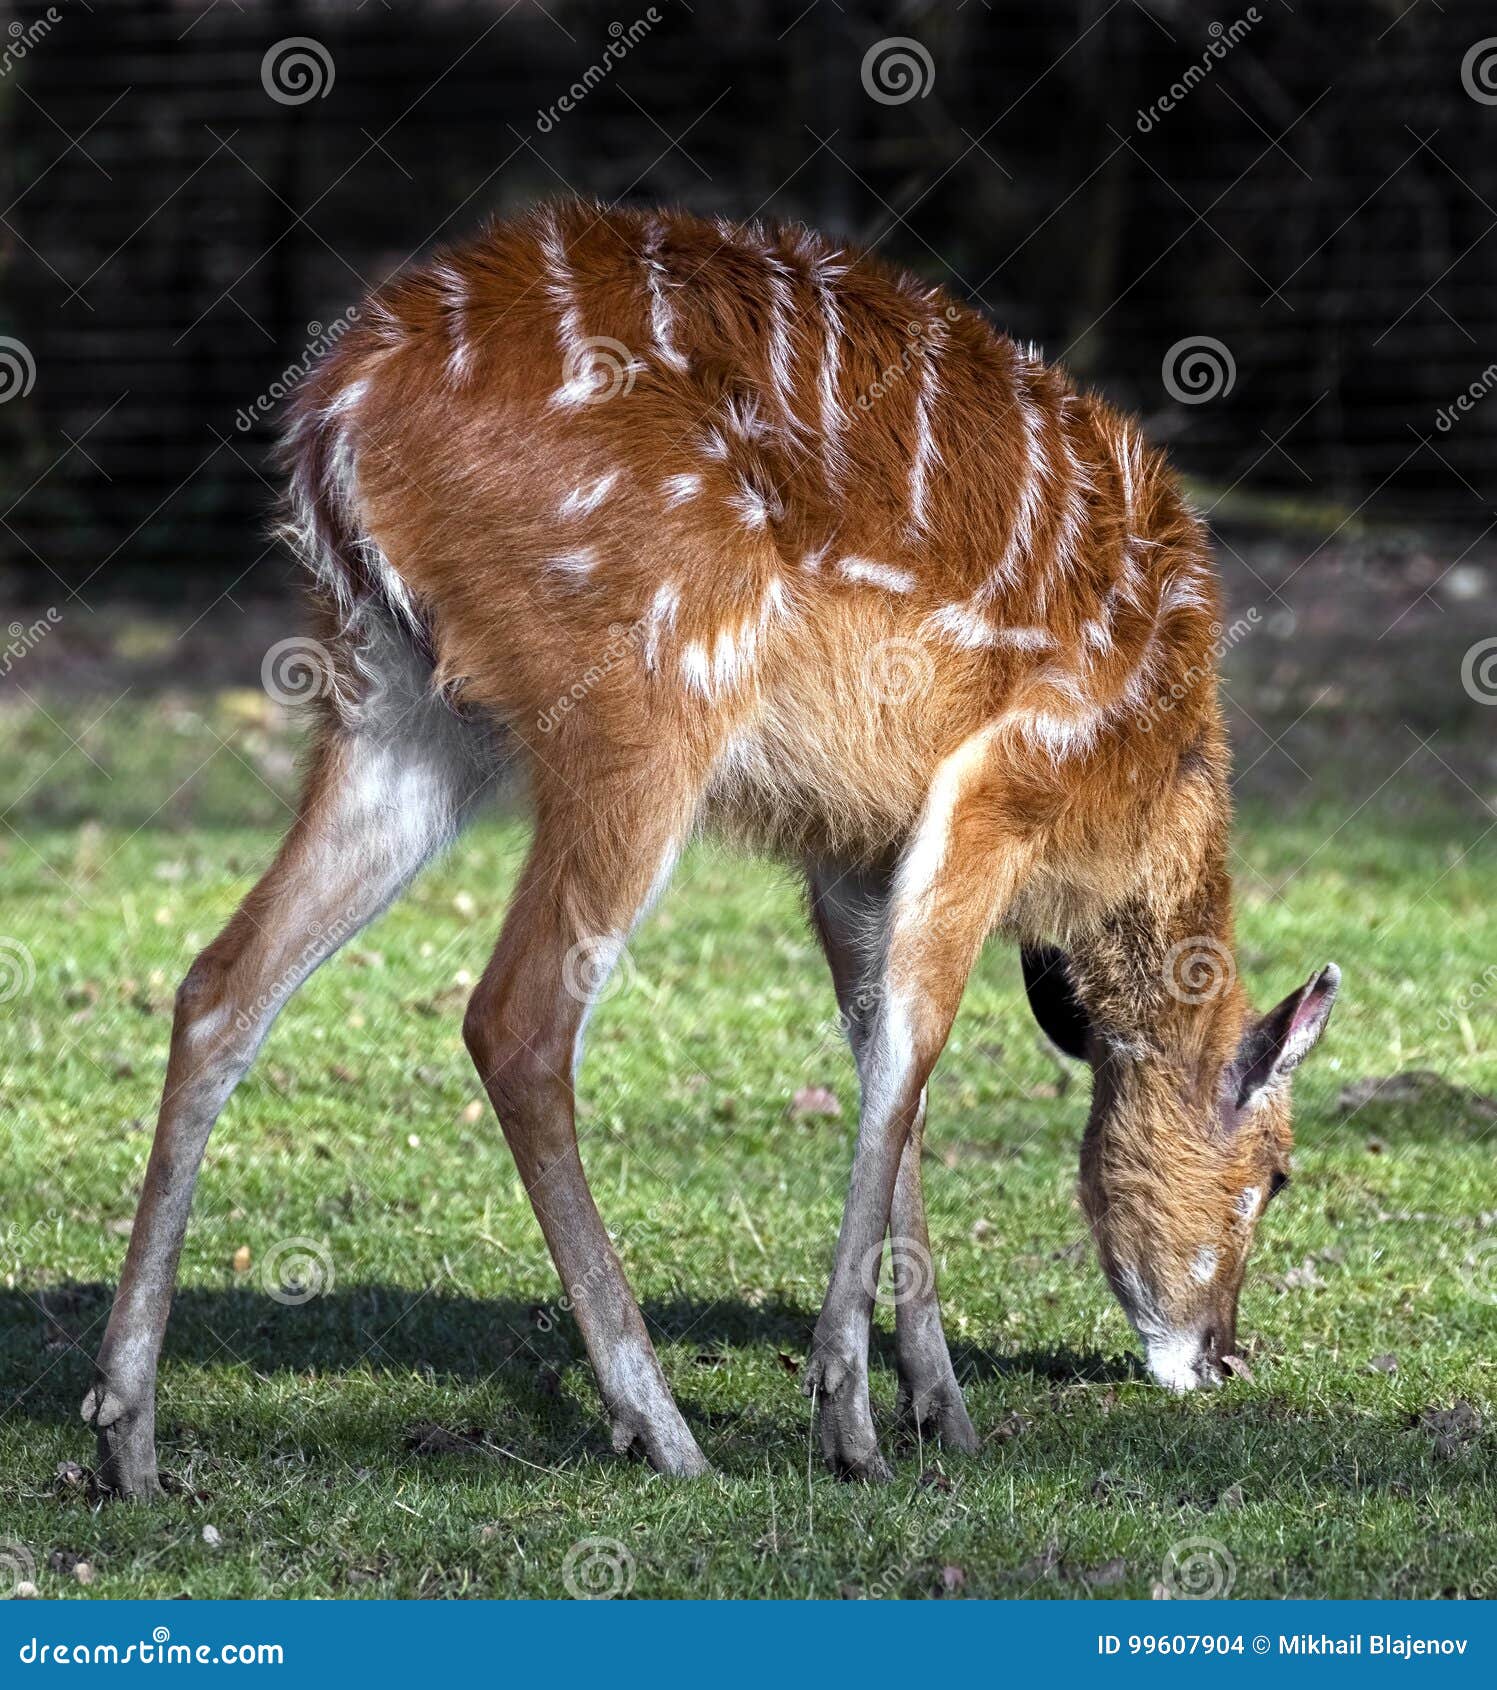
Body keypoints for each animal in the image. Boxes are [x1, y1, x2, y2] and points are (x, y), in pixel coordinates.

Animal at [84, 200, 1339, 1495]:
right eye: (1280, 1171)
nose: (1223, 1354)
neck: (1153, 768)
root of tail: (332, 424)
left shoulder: (851, 844)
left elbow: (885, 1071)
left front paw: (939, 1408)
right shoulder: (999, 782)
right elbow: (911, 1056)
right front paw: (849, 1418)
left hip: (391, 701)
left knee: (222, 981)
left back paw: (126, 1431)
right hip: (649, 686)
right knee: (516, 1018)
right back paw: (664, 1427)